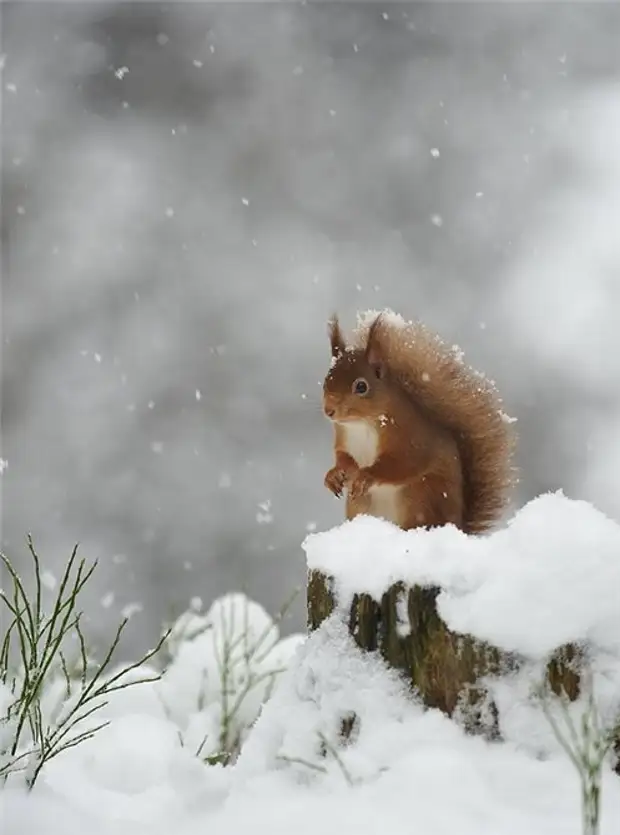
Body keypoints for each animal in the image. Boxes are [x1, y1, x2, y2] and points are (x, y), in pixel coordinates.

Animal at [322, 308, 516, 536]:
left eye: (361, 386)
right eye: (326, 379)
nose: (329, 410)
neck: (361, 424)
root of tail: (457, 526)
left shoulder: (409, 436)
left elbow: (402, 463)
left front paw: (365, 476)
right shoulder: (344, 438)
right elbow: (344, 458)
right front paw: (334, 475)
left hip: (420, 498)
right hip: (361, 505)